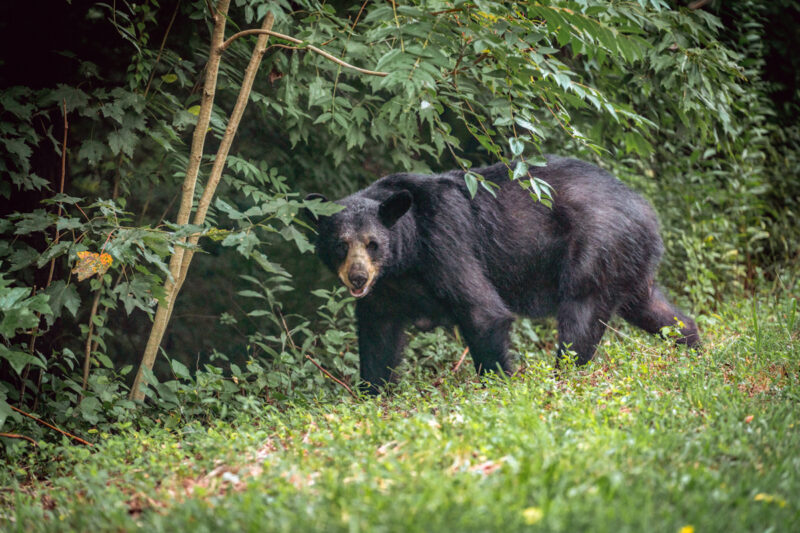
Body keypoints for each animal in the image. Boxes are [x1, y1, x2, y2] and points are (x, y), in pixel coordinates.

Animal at [305, 155, 699, 394]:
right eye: (341, 245)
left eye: (373, 244)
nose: (357, 278)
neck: (404, 259)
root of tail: (645, 210)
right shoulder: (386, 290)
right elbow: (377, 337)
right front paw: (372, 393)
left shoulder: (445, 245)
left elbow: (482, 311)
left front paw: (499, 387)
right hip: (627, 262)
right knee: (654, 310)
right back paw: (695, 346)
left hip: (596, 247)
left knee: (580, 318)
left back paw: (563, 377)